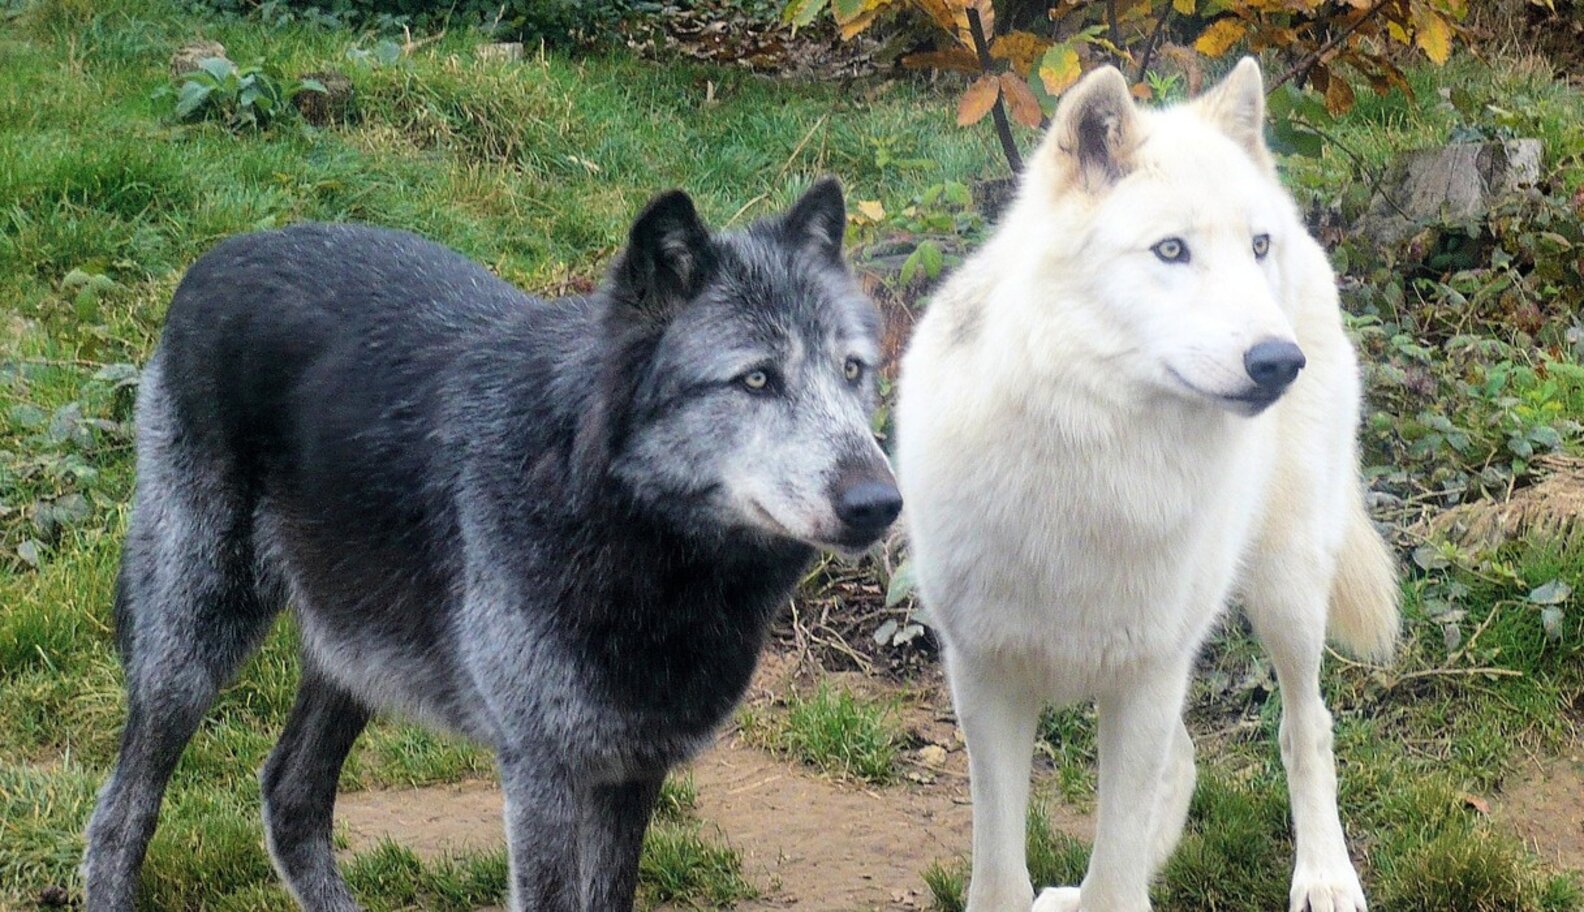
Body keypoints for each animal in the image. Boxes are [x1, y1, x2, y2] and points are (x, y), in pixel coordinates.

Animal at [81, 179, 902, 912]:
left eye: (852, 371)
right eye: (757, 379)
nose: (880, 503)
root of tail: (217, 257)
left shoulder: (632, 774)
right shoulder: (542, 776)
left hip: (356, 653)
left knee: (289, 796)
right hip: (192, 647)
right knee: (119, 817)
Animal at [895, 59, 1399, 912]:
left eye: (1254, 246)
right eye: (1171, 250)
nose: (1279, 362)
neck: (1096, 457)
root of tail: (1309, 235)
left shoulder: (1147, 677)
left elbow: (1118, 876)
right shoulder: (986, 681)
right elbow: (999, 870)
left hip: (1286, 595)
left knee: (1307, 726)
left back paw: (1325, 877)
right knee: (1185, 761)